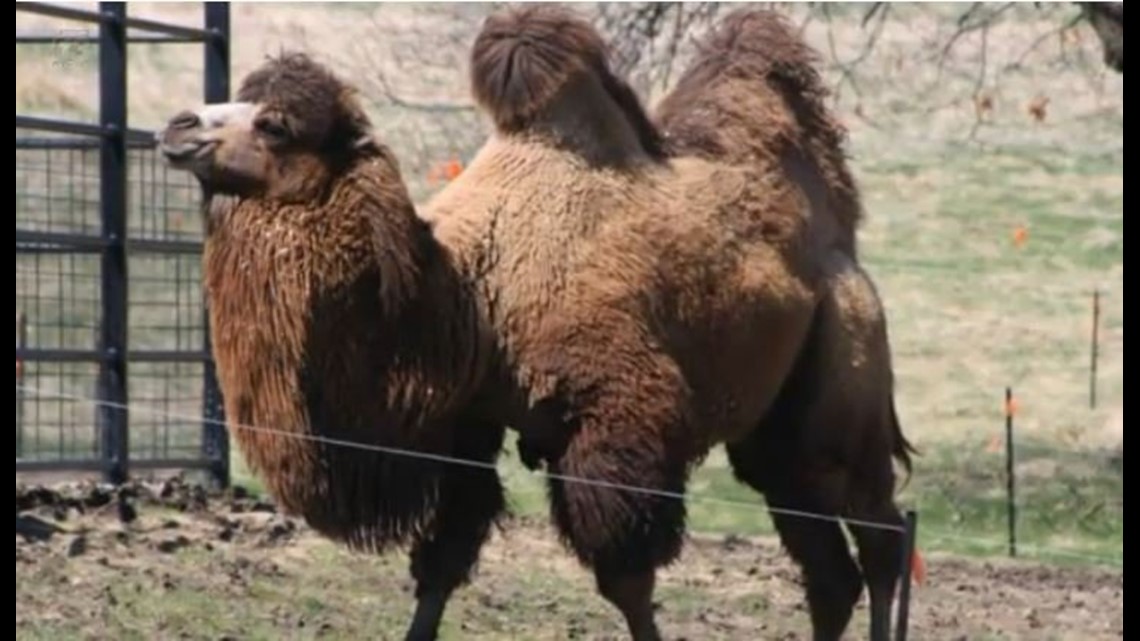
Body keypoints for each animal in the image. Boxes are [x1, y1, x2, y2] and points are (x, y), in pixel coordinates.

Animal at [155, 7, 914, 641]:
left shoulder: (616, 422)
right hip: (774, 431)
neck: (469, 302)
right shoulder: (467, 423)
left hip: (843, 364)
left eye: (276, 125)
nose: (178, 126)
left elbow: (626, 579)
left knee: (879, 532)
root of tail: (839, 234)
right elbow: (441, 562)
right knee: (828, 564)